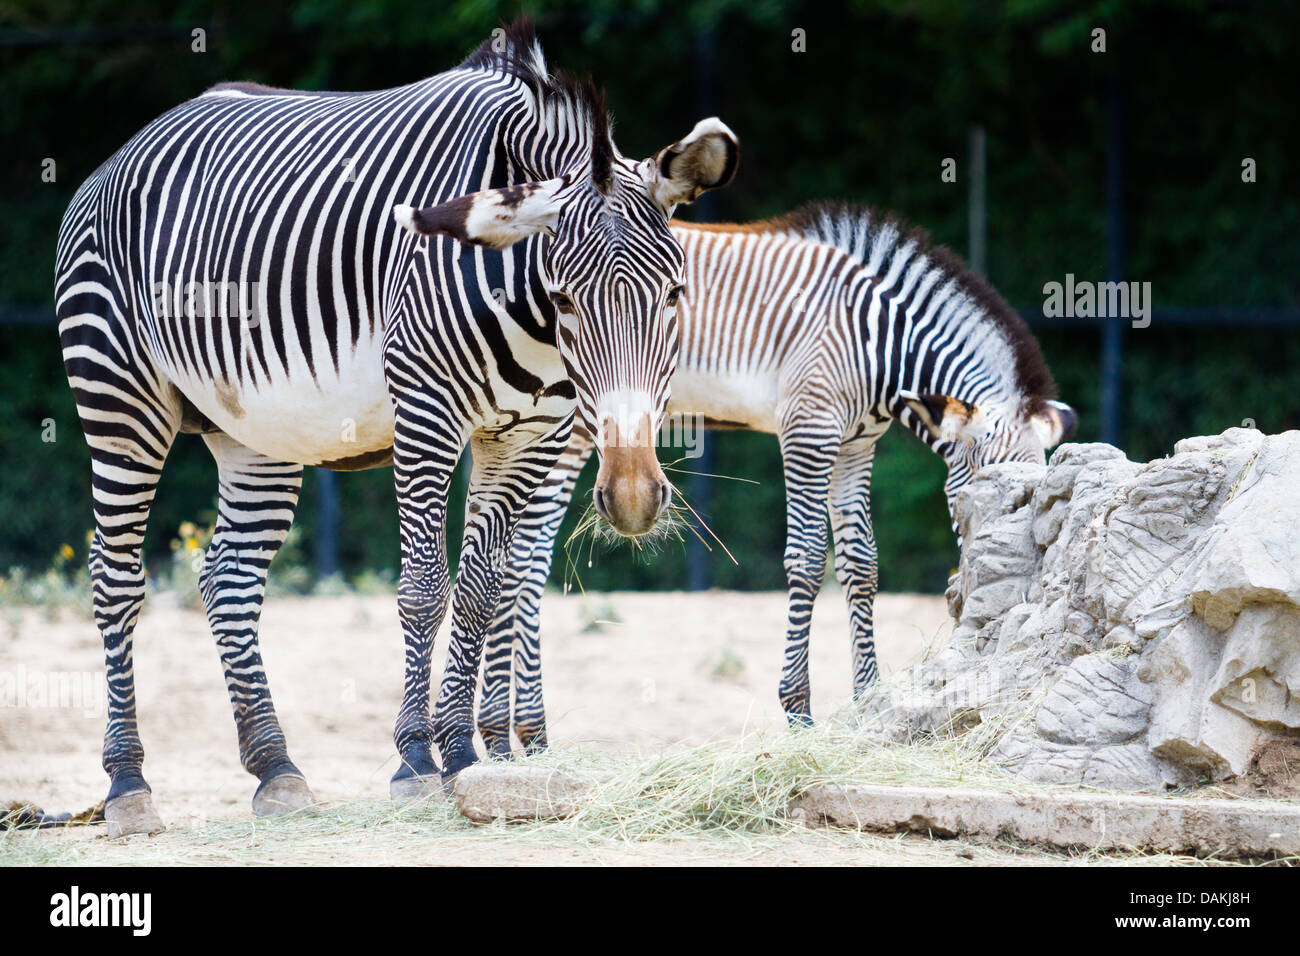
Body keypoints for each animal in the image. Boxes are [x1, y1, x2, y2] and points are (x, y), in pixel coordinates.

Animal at [55, 18, 738, 835]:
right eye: (566, 298)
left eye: (675, 294)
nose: (633, 499)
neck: (527, 313)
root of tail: (122, 153)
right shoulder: (427, 415)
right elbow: (423, 589)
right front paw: (415, 761)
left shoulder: (529, 436)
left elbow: (480, 589)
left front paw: (465, 758)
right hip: (119, 395)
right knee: (116, 580)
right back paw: (129, 785)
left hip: (253, 432)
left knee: (229, 580)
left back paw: (277, 770)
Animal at [476, 201, 1076, 753]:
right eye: (982, 498)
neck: (877, 342)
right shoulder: (809, 430)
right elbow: (808, 559)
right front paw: (799, 711)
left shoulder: (856, 445)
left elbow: (861, 563)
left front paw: (868, 700)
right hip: (572, 429)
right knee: (525, 555)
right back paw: (521, 735)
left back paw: (522, 736)